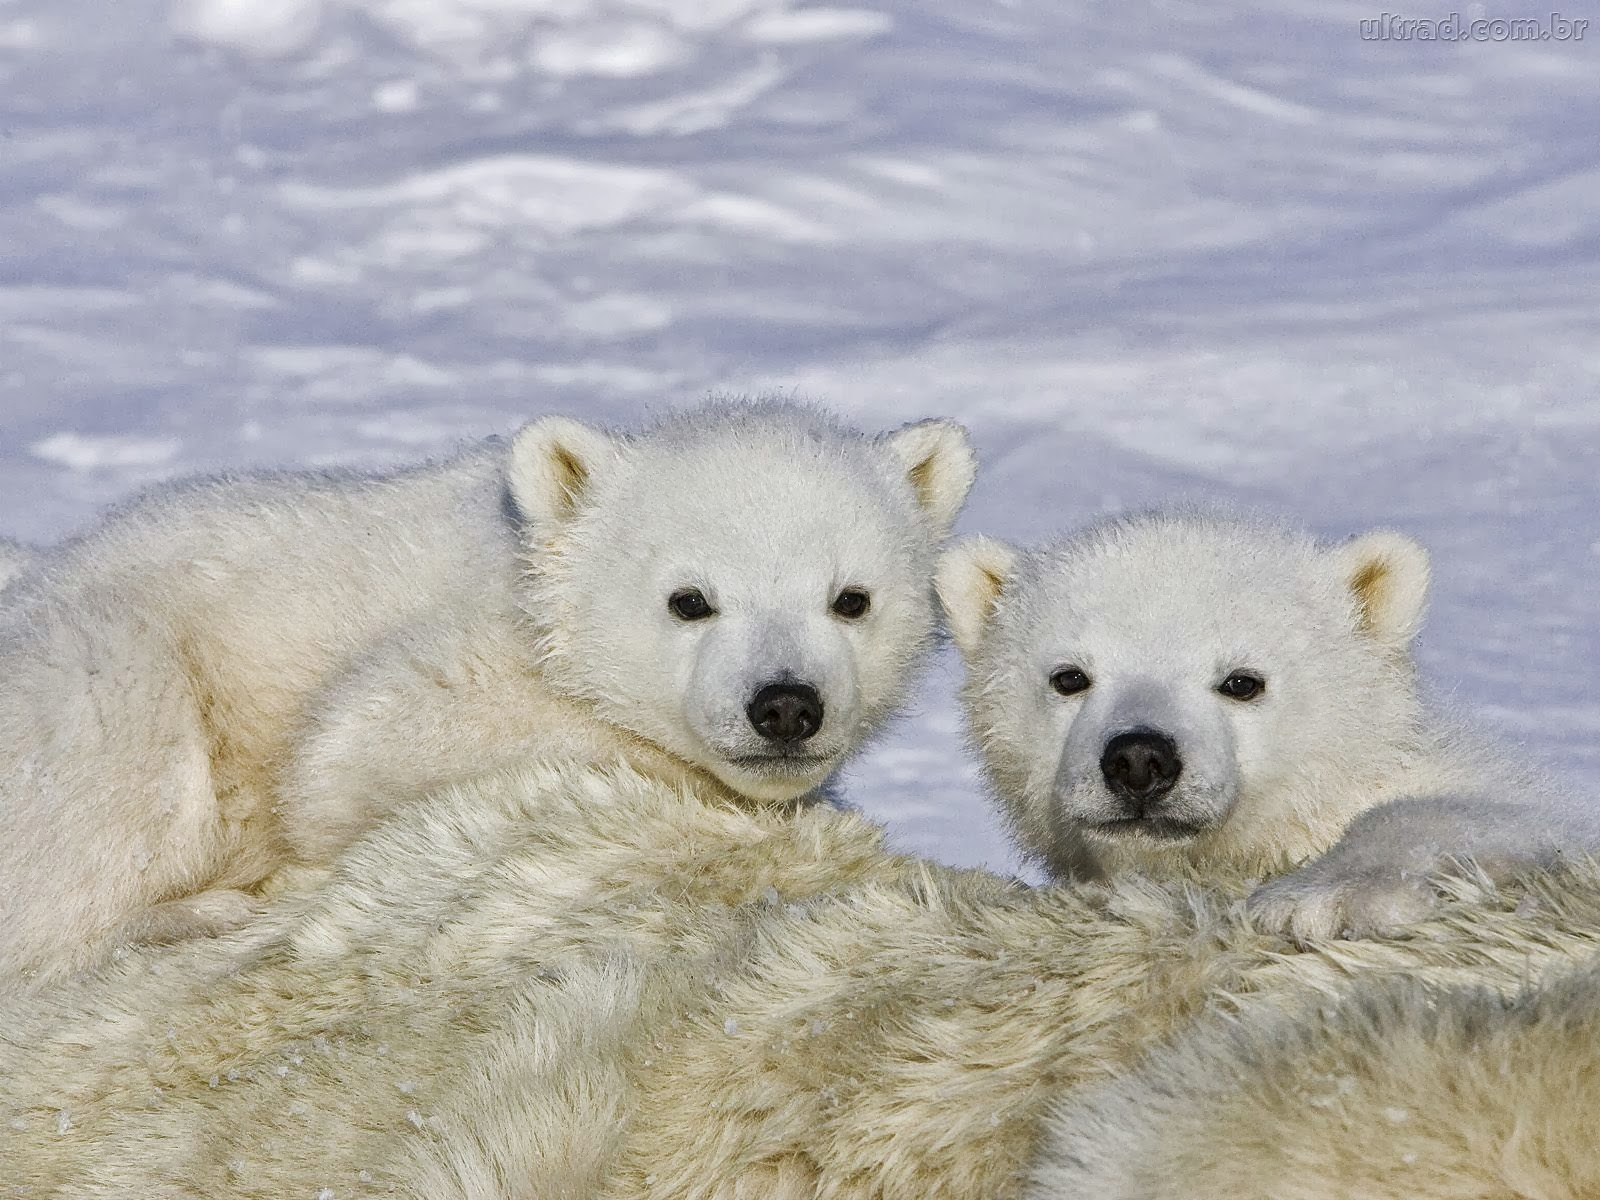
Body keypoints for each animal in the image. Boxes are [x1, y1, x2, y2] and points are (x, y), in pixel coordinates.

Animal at [0, 400, 976, 987]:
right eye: (689, 599)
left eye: (851, 598)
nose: (785, 706)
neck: (532, 574)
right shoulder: (456, 661)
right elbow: (353, 755)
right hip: (109, 664)